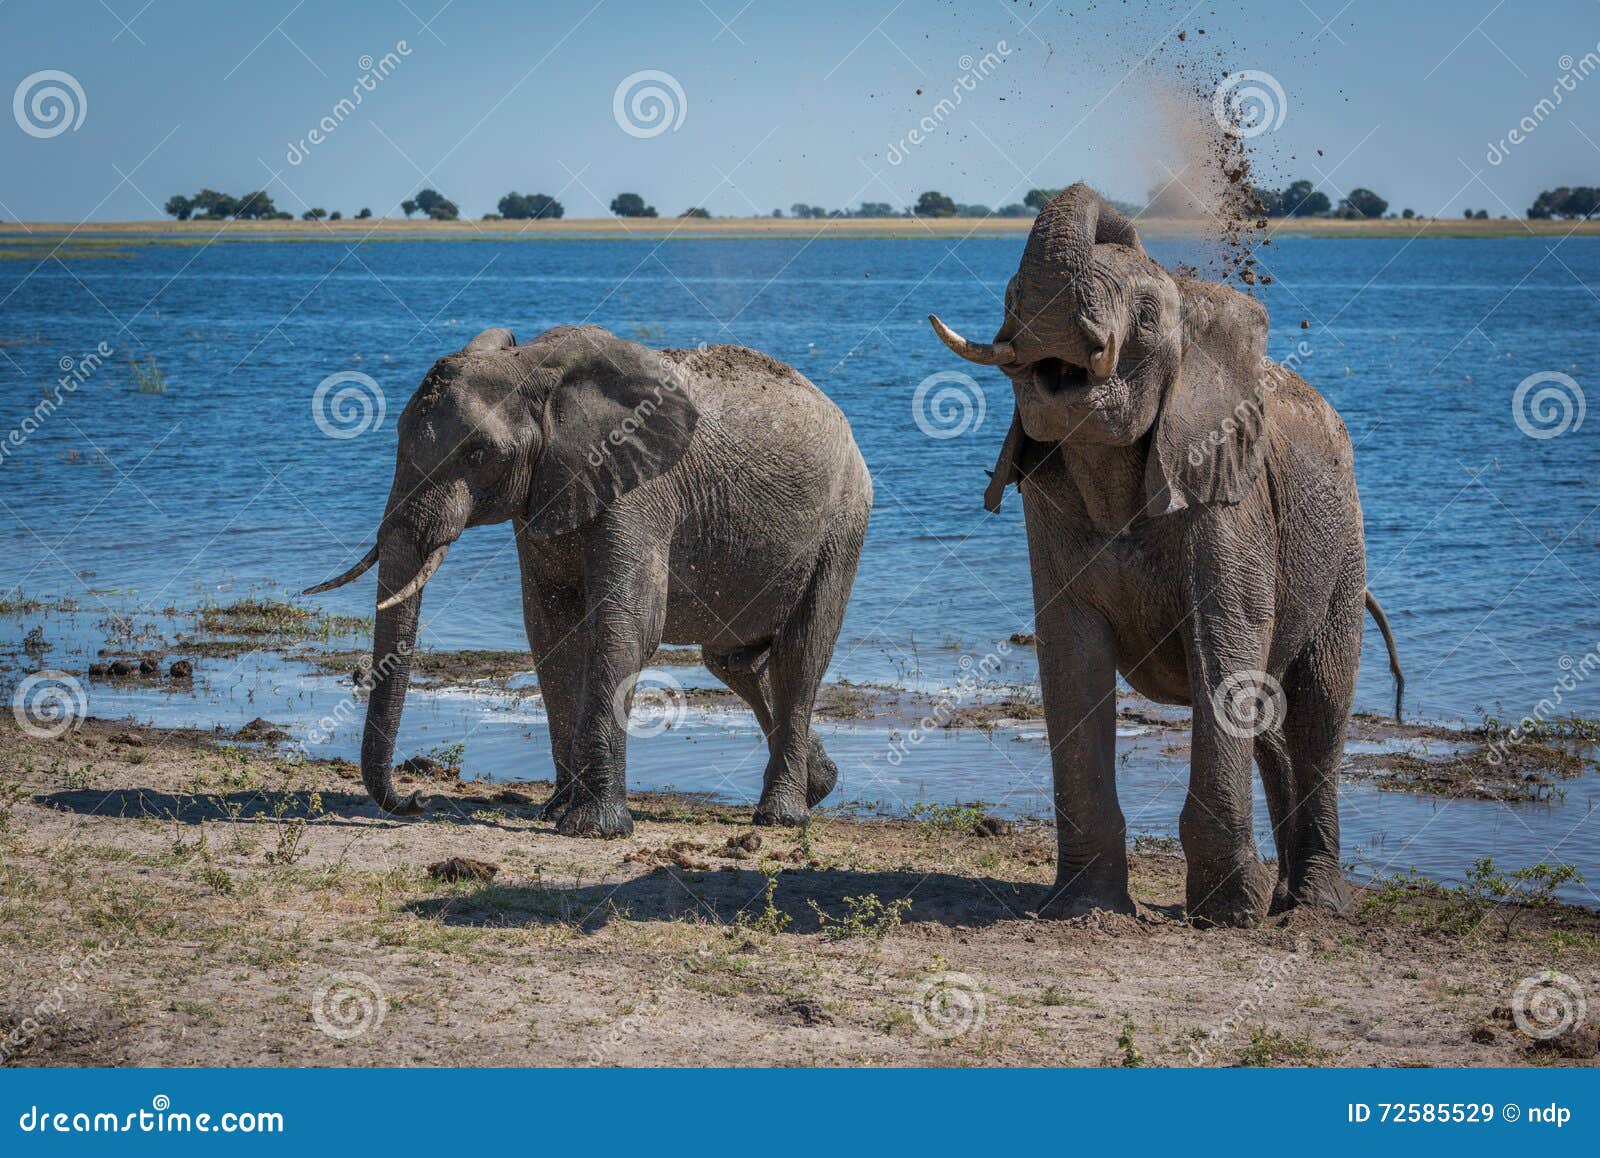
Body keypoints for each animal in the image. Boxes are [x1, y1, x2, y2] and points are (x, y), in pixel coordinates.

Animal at [305, 324, 872, 837]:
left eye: (477, 453)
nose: (416, 799)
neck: (536, 370)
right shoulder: (544, 494)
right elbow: (549, 629)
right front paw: (556, 812)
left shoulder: (640, 490)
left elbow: (626, 627)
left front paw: (593, 828)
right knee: (731, 660)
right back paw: (820, 784)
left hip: (843, 524)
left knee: (800, 653)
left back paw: (783, 816)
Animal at [929, 184, 1402, 927]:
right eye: (1008, 295)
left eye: (1147, 319)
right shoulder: (1048, 503)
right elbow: (1070, 652)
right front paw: (1085, 907)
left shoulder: (1226, 488)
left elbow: (1225, 639)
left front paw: (1231, 914)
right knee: (1271, 717)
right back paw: (1284, 898)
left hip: (1344, 550)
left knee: (1320, 705)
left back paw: (1313, 908)